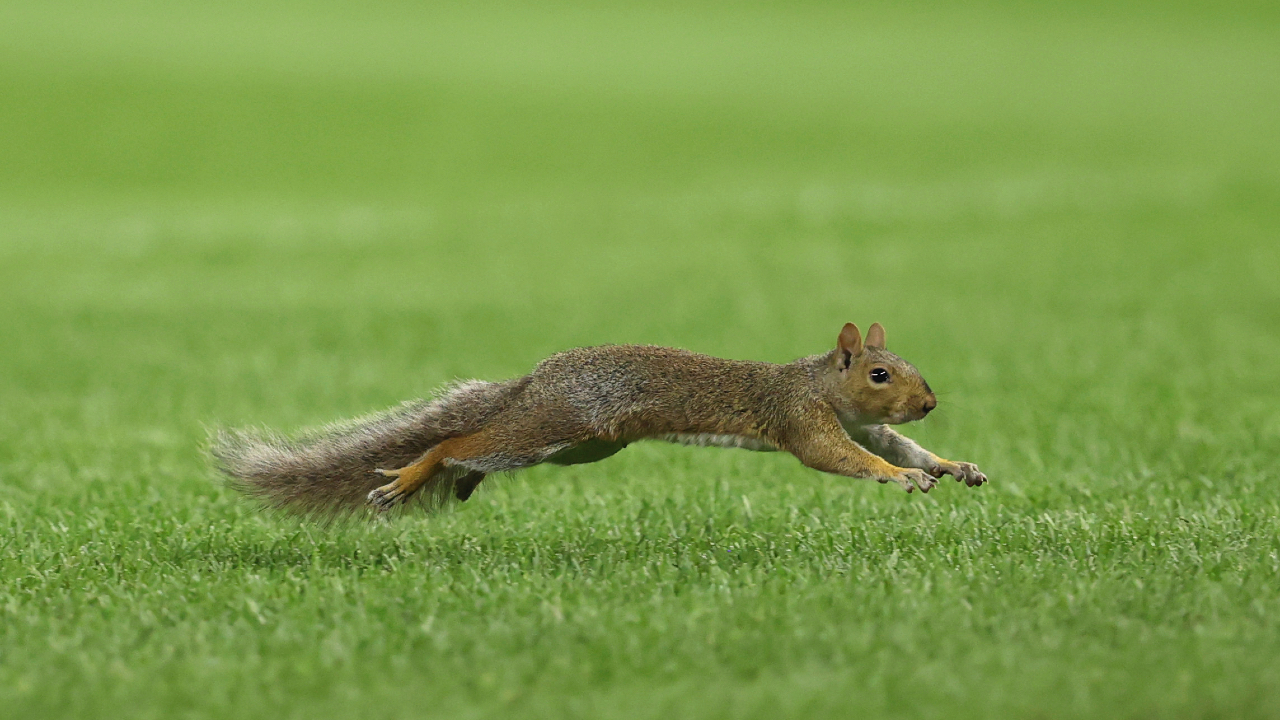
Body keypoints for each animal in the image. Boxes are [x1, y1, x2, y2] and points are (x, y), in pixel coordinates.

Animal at [212, 322, 986, 517]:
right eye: (879, 374)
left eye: (907, 368)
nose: (930, 403)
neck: (820, 383)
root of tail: (537, 380)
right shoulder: (804, 420)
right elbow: (848, 459)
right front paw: (899, 480)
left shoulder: (865, 424)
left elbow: (903, 447)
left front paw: (952, 464)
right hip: (550, 428)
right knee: (460, 440)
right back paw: (412, 477)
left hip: (579, 447)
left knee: (471, 452)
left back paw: (459, 484)